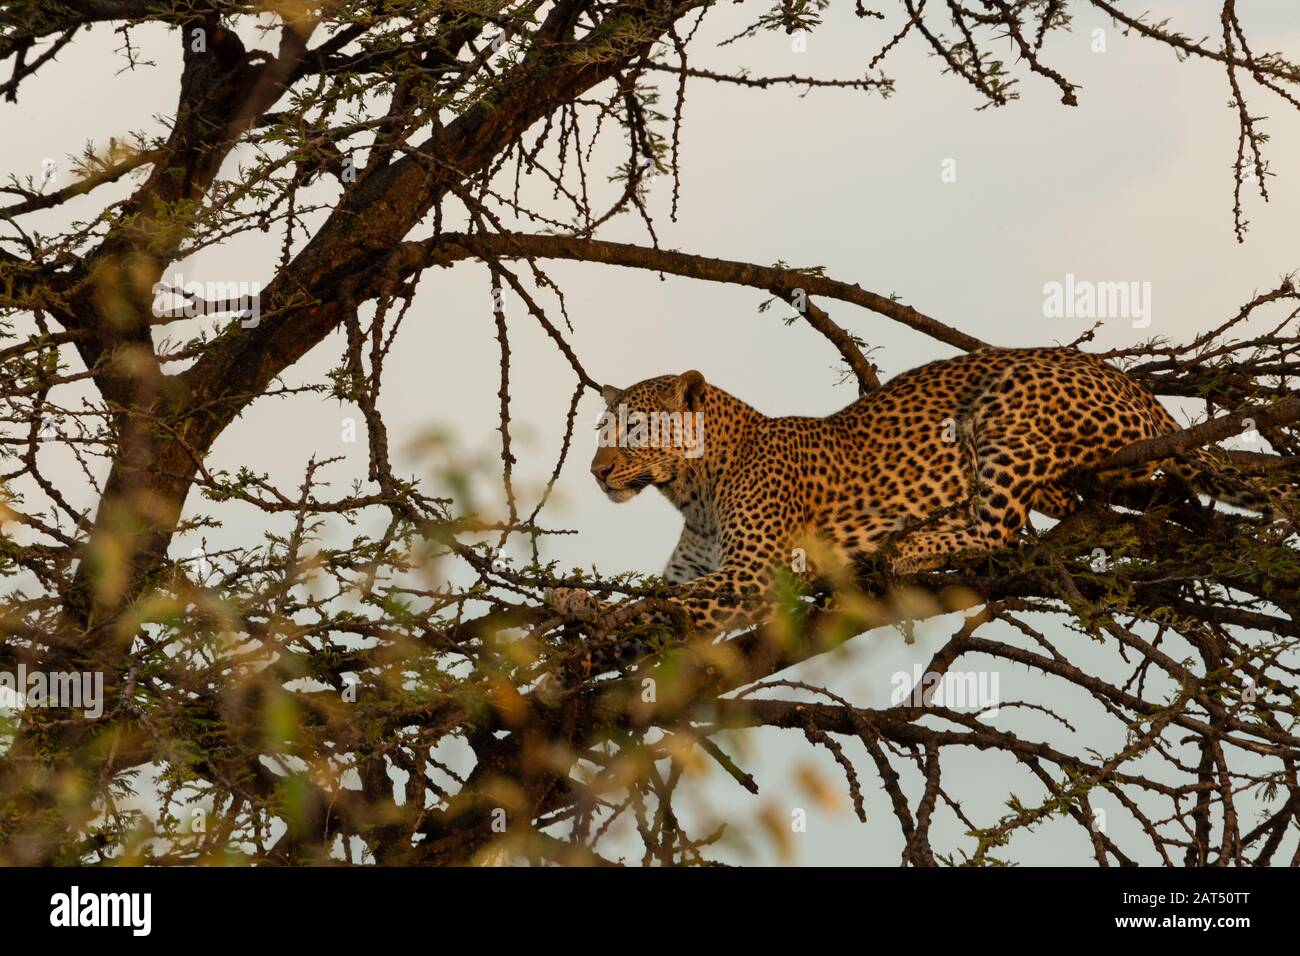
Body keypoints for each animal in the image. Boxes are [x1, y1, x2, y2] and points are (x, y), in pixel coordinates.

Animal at [550, 346, 1264, 643]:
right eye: (602, 429)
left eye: (638, 430)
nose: (596, 471)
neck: (692, 491)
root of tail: (1130, 383)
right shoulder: (700, 565)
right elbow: (655, 595)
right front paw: (574, 603)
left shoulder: (752, 573)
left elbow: (663, 608)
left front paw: (590, 630)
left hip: (1004, 410)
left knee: (997, 524)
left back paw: (903, 547)